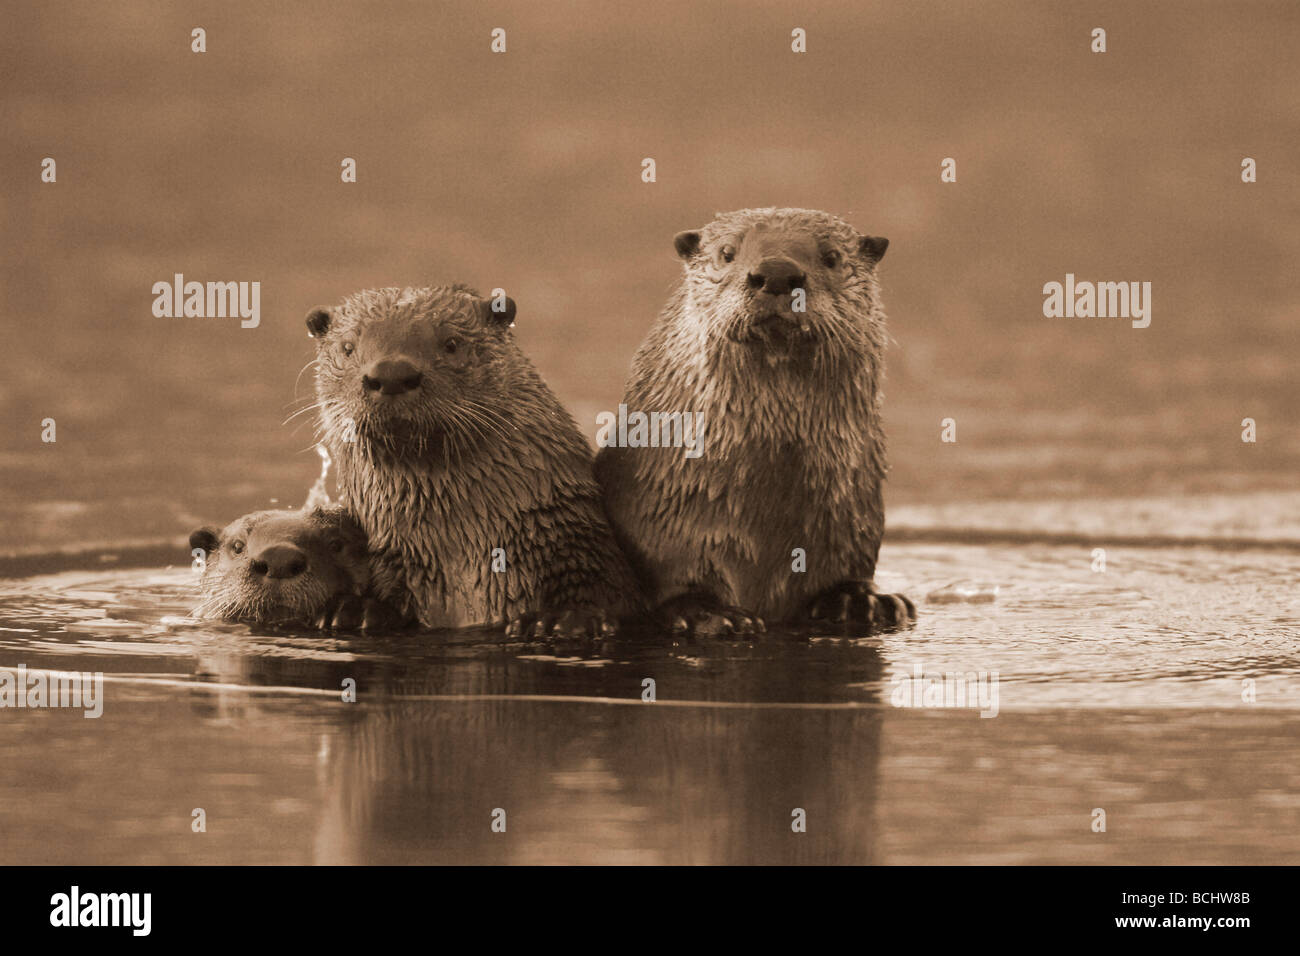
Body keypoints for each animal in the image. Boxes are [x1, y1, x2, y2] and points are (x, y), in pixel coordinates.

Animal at [305, 285, 642, 637]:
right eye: (347, 347)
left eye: (452, 343)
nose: (391, 374)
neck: (459, 553)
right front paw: (356, 610)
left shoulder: (577, 542)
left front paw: (567, 617)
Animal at [595, 207, 915, 632]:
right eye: (727, 252)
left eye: (832, 256)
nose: (777, 272)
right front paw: (710, 613)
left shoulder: (853, 513)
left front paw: (859, 600)